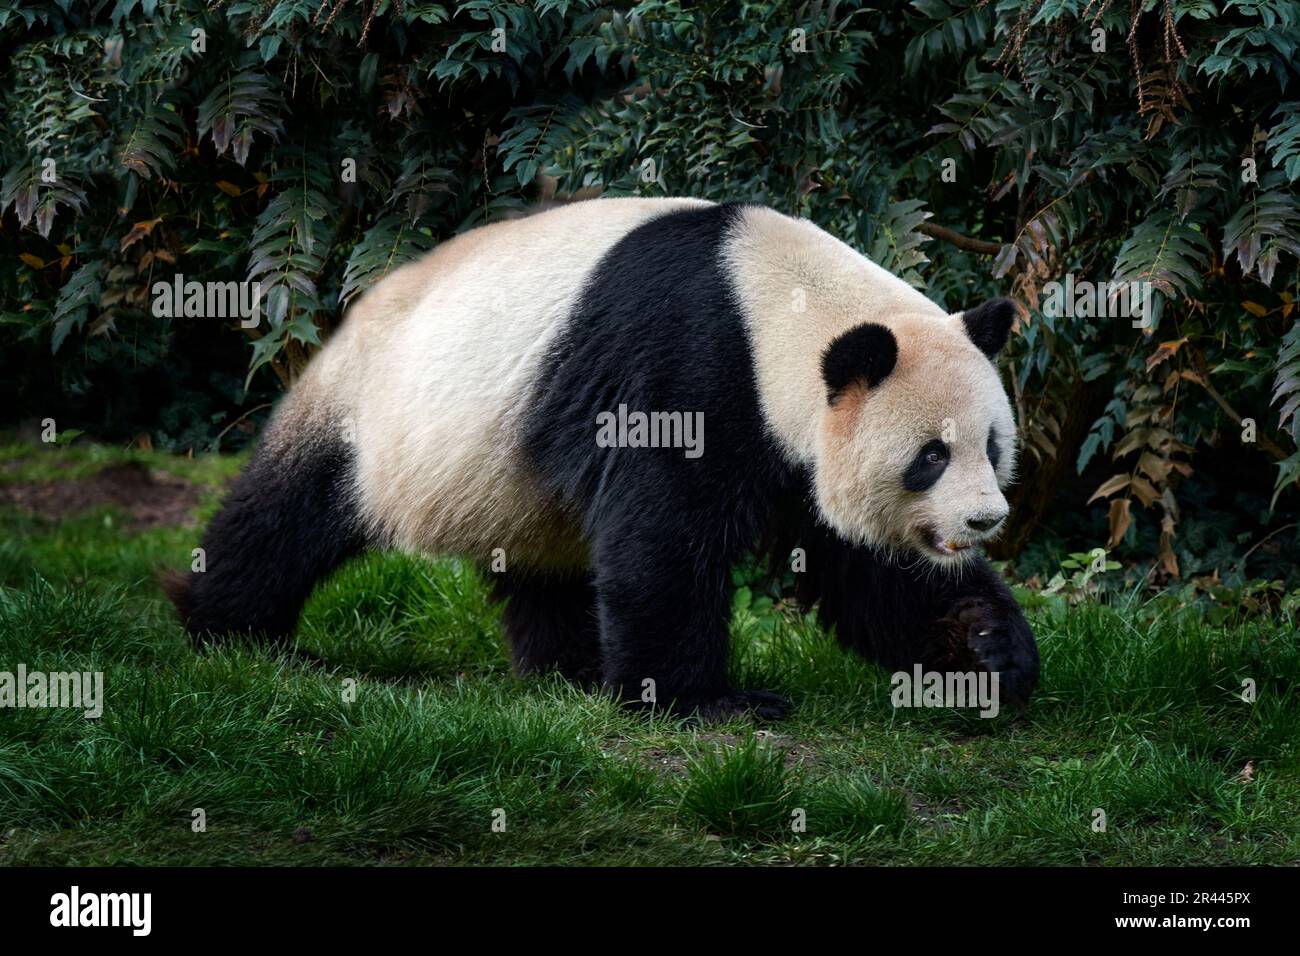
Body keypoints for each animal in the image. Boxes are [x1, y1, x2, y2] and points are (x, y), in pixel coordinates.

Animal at [168, 197, 1040, 721]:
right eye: (930, 455)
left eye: (992, 446)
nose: (984, 519)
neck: (778, 304)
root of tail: (355, 309)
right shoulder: (693, 361)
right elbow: (665, 537)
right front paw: (706, 701)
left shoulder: (796, 439)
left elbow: (867, 568)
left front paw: (986, 652)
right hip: (380, 414)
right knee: (289, 513)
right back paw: (229, 629)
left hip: (503, 480)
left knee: (544, 567)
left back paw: (570, 671)